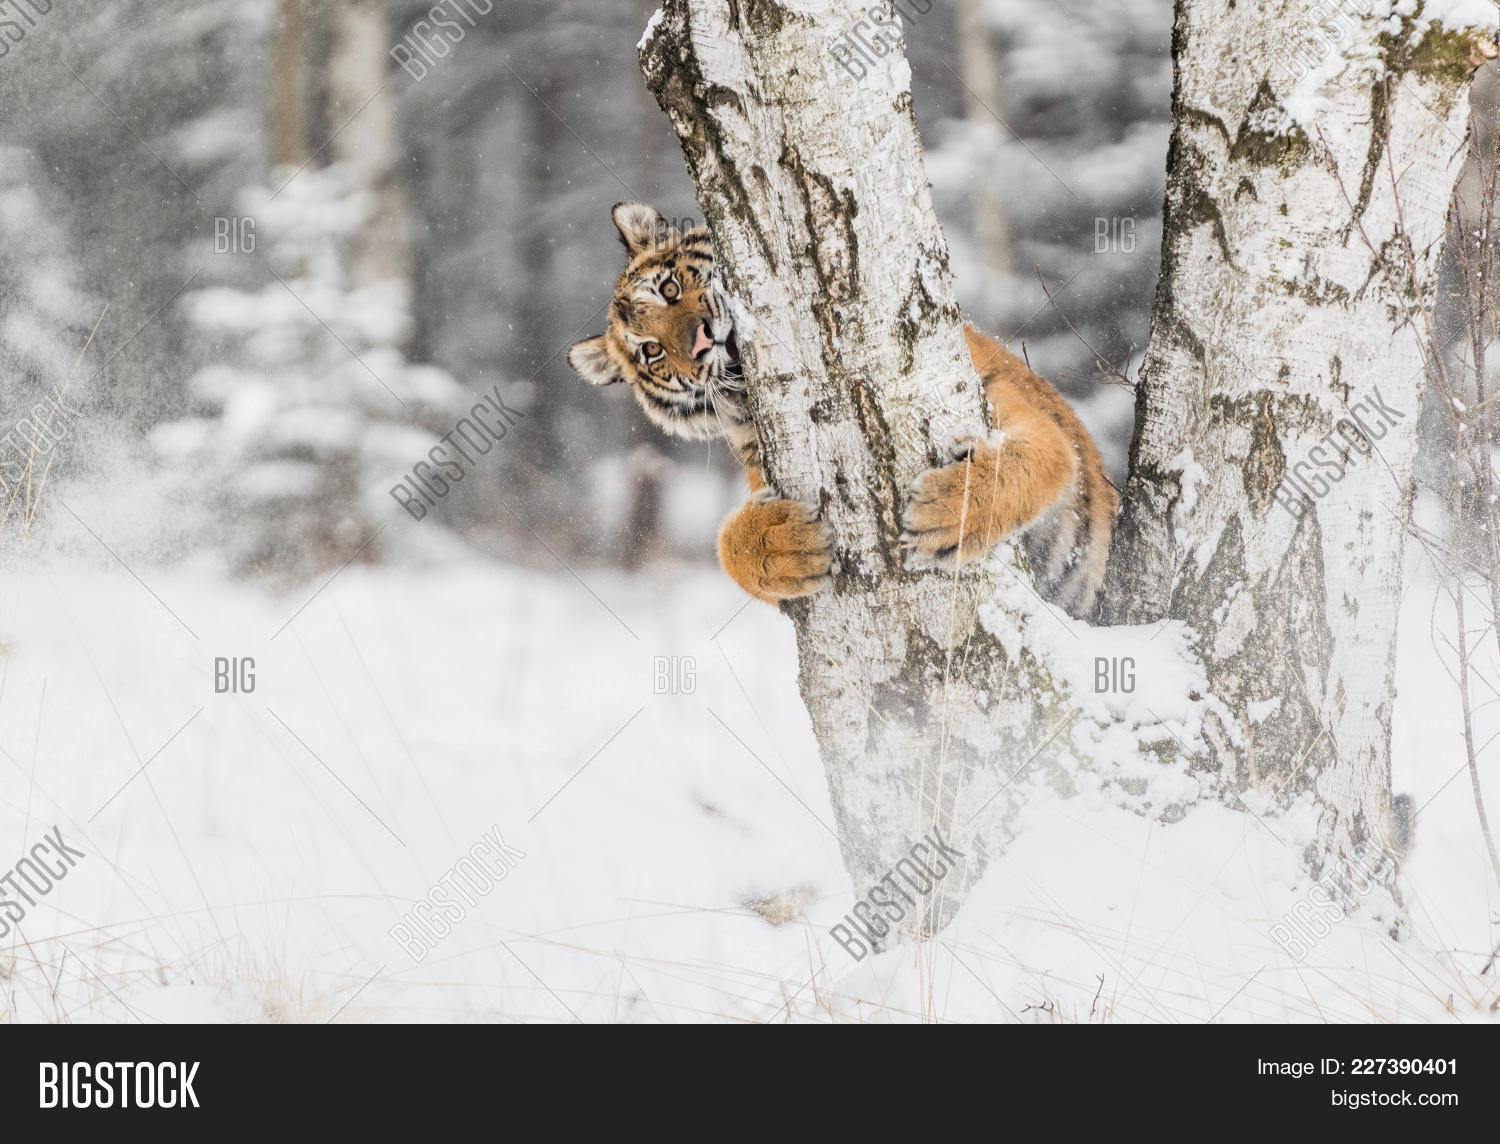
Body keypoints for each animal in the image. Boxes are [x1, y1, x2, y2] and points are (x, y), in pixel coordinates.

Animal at [568, 202, 1117, 618]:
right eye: (651, 351)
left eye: (670, 288)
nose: (703, 341)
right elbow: (727, 549)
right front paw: (787, 545)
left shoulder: (1004, 397)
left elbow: (1044, 454)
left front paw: (948, 510)